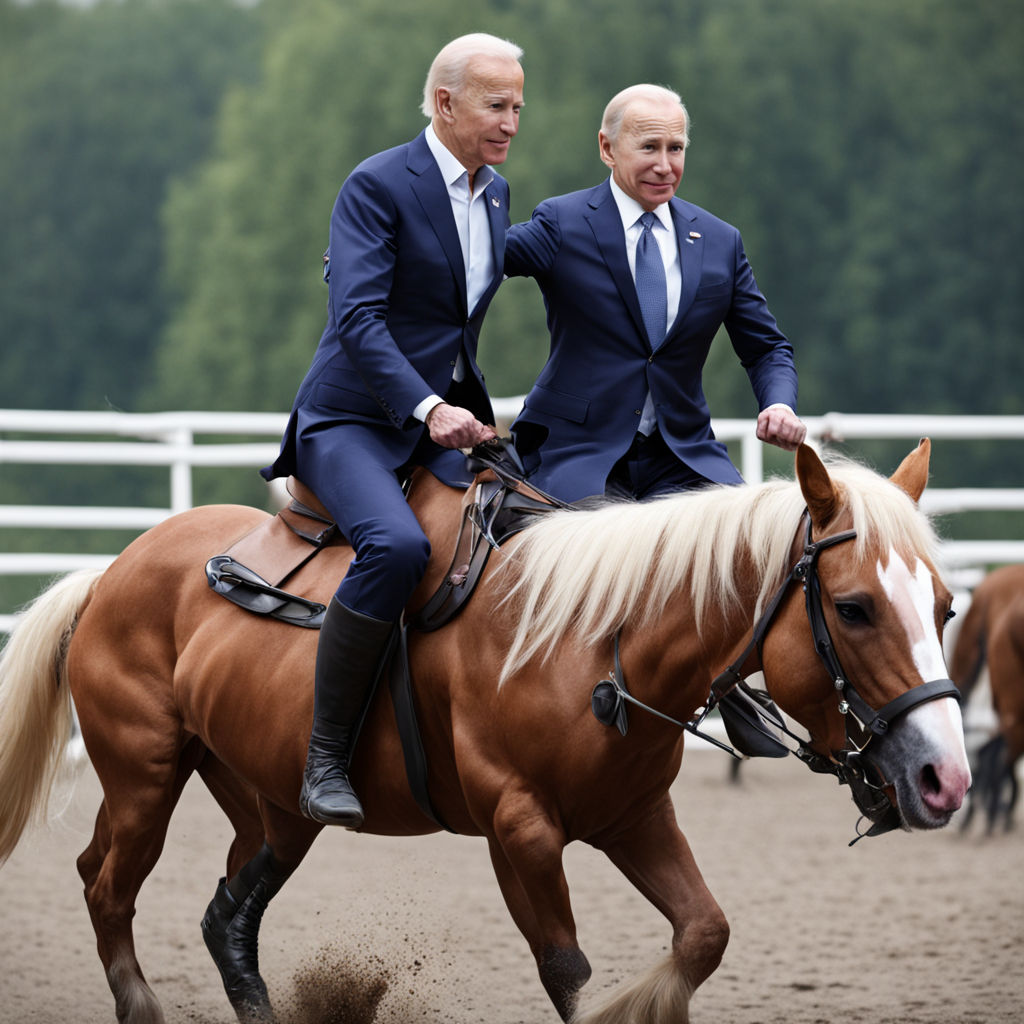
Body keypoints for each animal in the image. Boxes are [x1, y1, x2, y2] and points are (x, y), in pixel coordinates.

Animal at [0, 440, 971, 1024]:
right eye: (854, 607)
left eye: (945, 606)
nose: (944, 779)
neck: (597, 642)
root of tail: (111, 572)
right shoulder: (521, 831)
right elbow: (570, 972)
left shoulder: (635, 818)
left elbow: (704, 933)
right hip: (144, 778)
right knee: (106, 887)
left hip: (272, 806)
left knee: (224, 914)